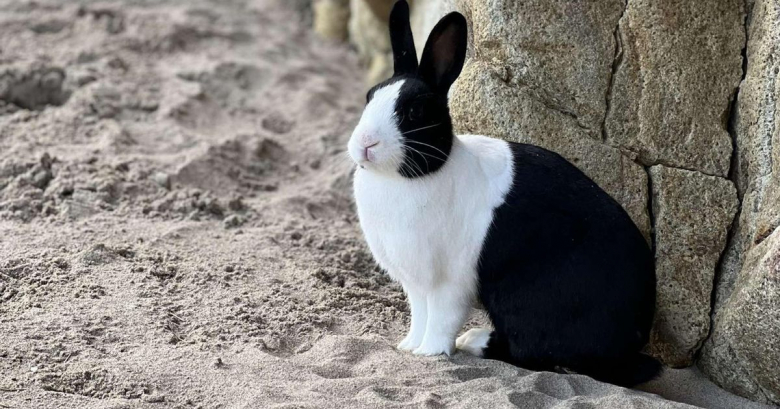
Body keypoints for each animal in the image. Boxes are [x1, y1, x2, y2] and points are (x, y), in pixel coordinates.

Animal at [347, 0, 661, 388]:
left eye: (415, 110)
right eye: (369, 96)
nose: (365, 145)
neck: (407, 177)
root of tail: (630, 347)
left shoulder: (449, 281)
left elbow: (441, 318)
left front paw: (429, 353)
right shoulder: (415, 284)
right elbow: (420, 315)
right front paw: (408, 347)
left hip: (526, 299)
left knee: (534, 350)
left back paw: (474, 340)